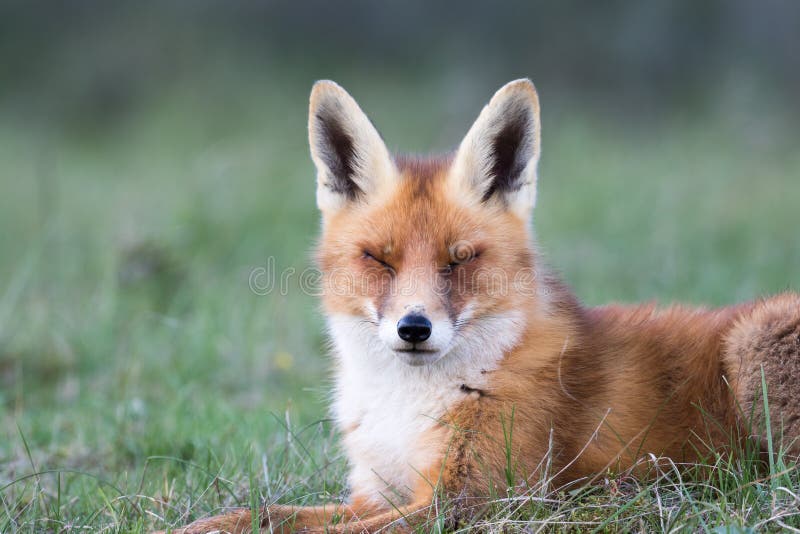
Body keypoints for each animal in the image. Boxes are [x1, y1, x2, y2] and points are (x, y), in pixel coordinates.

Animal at [163, 79, 800, 533]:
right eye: (380, 259)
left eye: (460, 259)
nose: (413, 328)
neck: (407, 408)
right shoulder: (375, 492)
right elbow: (264, 515)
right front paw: (202, 524)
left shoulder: (468, 501)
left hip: (756, 338)